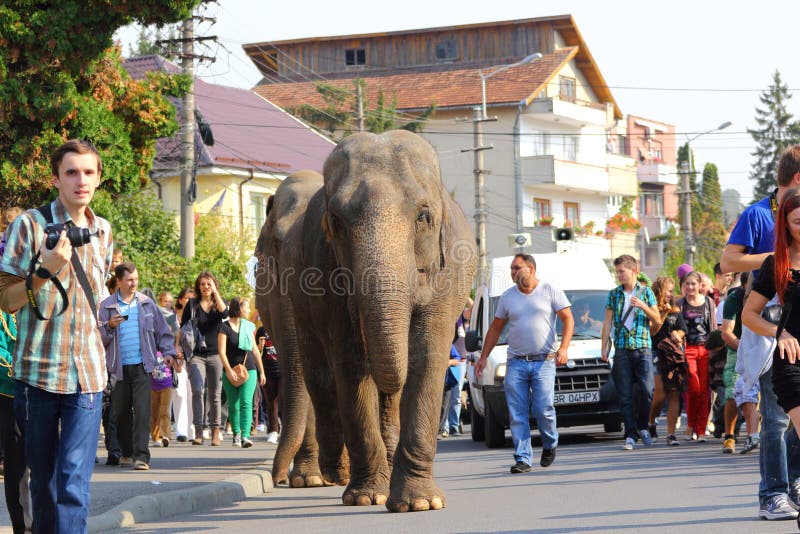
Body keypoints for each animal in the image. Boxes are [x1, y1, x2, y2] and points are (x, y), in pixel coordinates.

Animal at [256, 130, 476, 512]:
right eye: (337, 223)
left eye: (423, 216)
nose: (275, 478)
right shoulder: (325, 276)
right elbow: (351, 364)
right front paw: (366, 496)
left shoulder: (447, 275)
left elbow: (426, 357)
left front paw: (420, 503)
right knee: (318, 371)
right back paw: (326, 476)